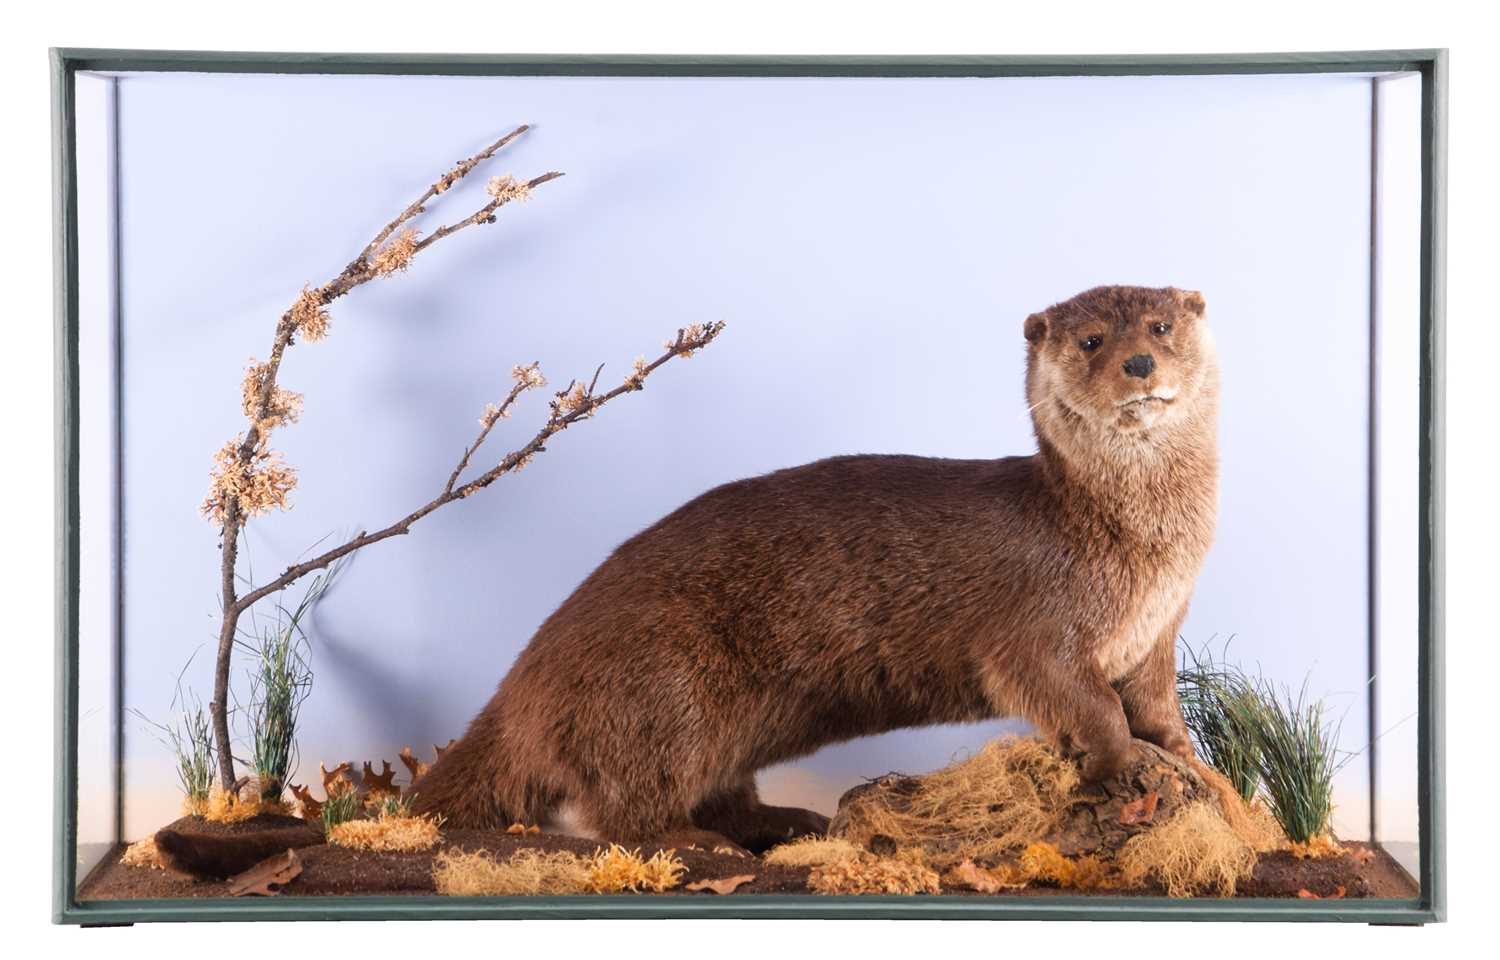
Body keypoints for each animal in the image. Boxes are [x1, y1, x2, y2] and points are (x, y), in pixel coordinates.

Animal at [404, 284, 1219, 852]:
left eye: (1161, 327)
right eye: (1091, 339)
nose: (1139, 363)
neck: (1139, 544)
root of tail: (524, 683)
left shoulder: (1159, 629)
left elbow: (1155, 702)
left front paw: (1191, 762)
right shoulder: (1038, 625)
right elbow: (1081, 700)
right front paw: (1124, 761)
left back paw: (788, 823)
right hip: (662, 687)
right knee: (623, 808)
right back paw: (699, 844)